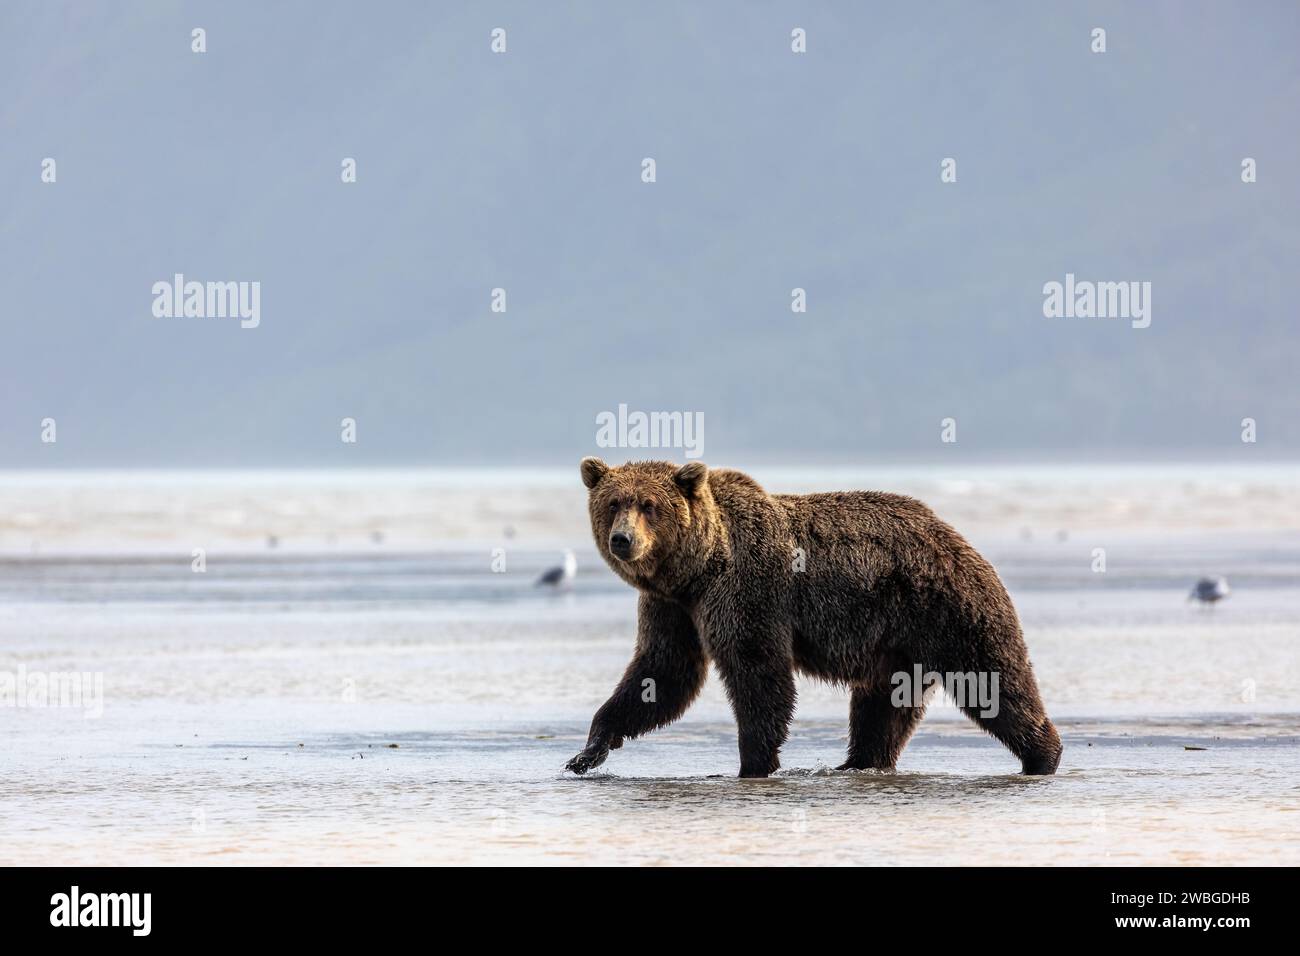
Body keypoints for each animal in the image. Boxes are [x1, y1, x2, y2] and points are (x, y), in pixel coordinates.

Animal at [564, 458, 1062, 778]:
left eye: (649, 505)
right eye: (613, 503)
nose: (623, 540)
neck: (697, 569)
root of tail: (955, 535)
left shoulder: (747, 590)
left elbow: (757, 672)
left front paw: (753, 763)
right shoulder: (672, 608)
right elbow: (661, 674)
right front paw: (588, 751)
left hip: (947, 606)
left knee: (992, 679)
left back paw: (1043, 755)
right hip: (897, 644)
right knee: (883, 704)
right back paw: (859, 762)